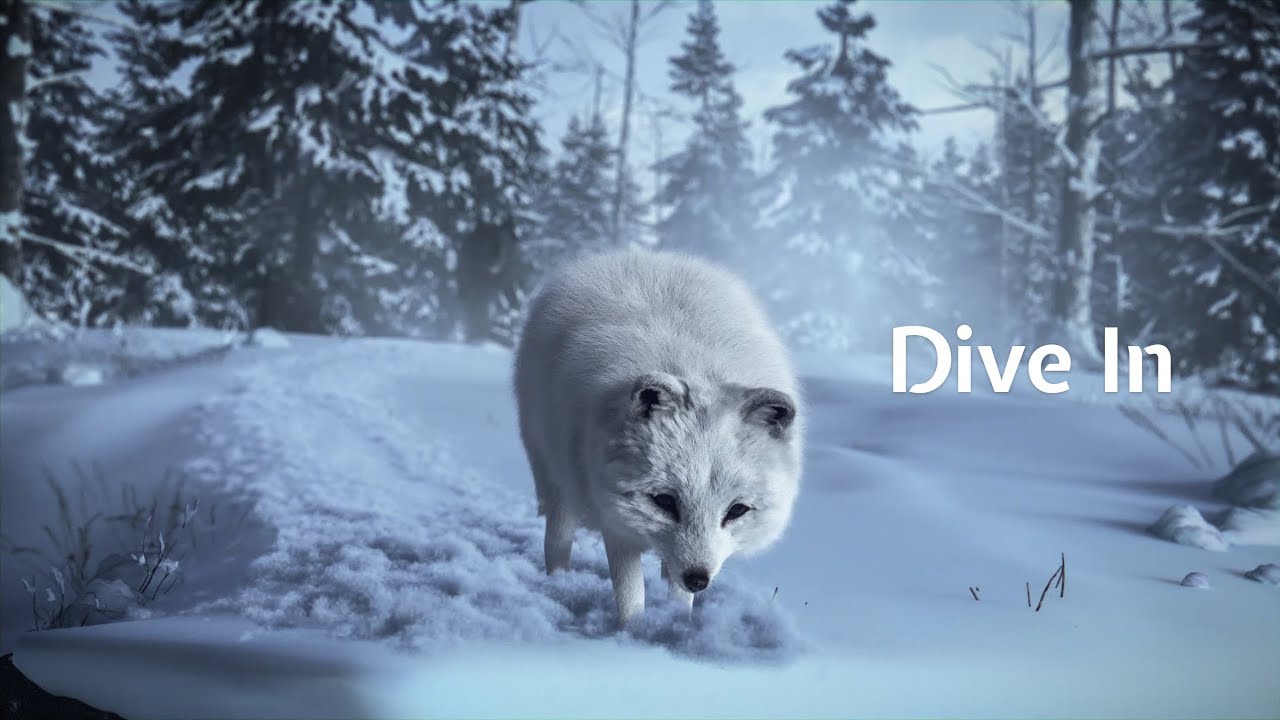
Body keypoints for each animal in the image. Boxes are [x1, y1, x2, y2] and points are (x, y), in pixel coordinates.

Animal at [513, 249, 803, 625]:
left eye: (737, 510)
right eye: (664, 501)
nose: (698, 579)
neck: (693, 366)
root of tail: (644, 256)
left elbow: (677, 596)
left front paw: (677, 625)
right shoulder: (616, 519)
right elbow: (629, 595)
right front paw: (632, 633)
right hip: (556, 477)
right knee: (557, 541)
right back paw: (558, 585)